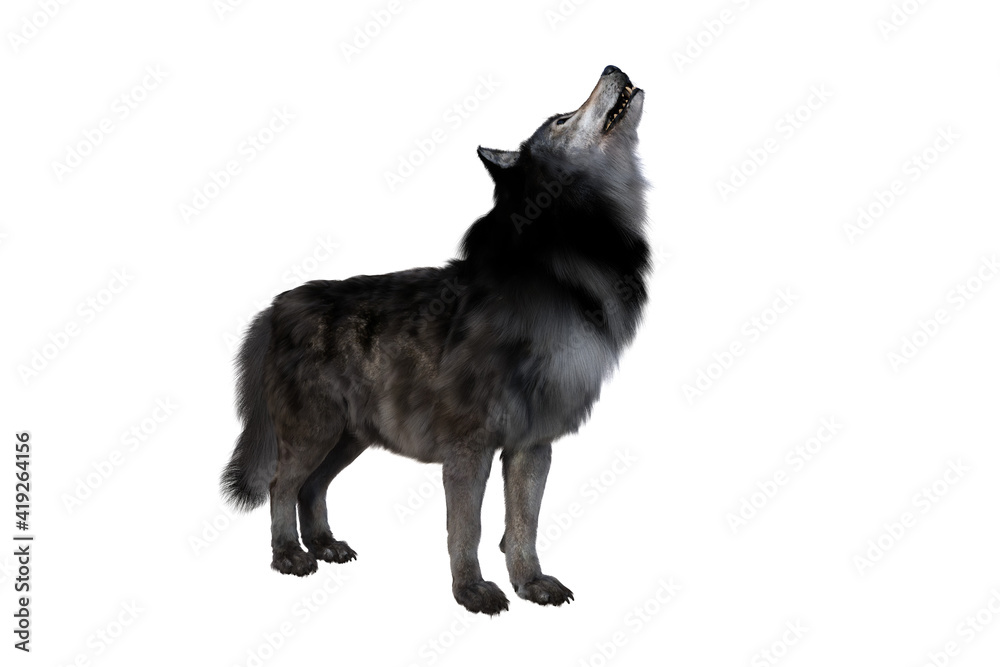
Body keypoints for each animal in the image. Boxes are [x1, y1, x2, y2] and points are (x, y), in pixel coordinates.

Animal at [221, 65, 650, 615]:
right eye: (560, 117)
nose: (614, 68)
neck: (559, 267)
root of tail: (274, 309)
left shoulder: (532, 444)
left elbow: (524, 526)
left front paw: (532, 583)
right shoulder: (469, 447)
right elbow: (467, 529)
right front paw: (472, 592)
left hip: (348, 439)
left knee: (310, 489)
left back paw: (326, 546)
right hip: (317, 432)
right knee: (281, 485)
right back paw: (290, 557)